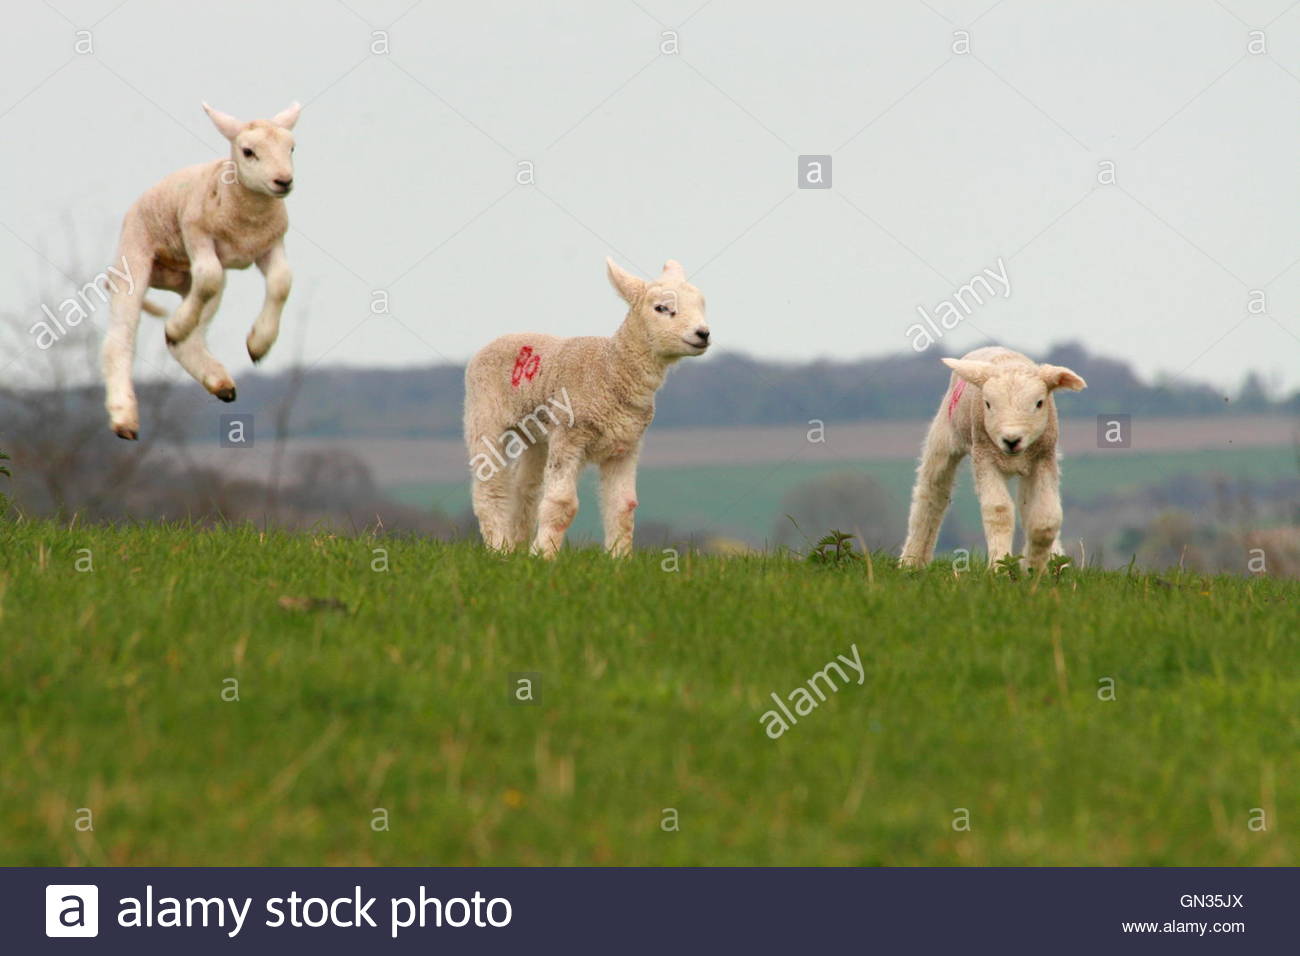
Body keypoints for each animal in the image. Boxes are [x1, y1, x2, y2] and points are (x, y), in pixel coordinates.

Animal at [102, 100, 301, 439]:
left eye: (292, 147)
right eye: (248, 151)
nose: (283, 181)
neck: (248, 217)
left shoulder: (271, 245)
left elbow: (281, 282)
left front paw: (259, 343)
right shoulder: (197, 234)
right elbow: (209, 276)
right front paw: (177, 324)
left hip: (185, 277)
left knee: (191, 331)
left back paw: (218, 382)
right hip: (135, 256)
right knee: (118, 341)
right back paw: (124, 418)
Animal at [464, 258, 711, 558]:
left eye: (702, 305)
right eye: (661, 308)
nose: (703, 333)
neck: (610, 370)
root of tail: (504, 337)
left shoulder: (626, 444)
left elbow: (623, 506)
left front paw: (619, 559)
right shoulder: (571, 434)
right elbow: (562, 502)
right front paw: (544, 555)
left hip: (537, 434)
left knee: (525, 488)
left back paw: (518, 547)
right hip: (483, 411)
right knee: (490, 487)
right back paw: (500, 547)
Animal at [900, 346, 1087, 572]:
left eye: (1039, 403)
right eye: (987, 404)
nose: (1011, 440)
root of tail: (991, 348)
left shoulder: (1044, 457)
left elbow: (1045, 519)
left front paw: (1034, 569)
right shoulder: (984, 456)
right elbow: (999, 510)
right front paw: (1000, 567)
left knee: (1026, 507)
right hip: (944, 435)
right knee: (932, 493)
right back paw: (911, 560)